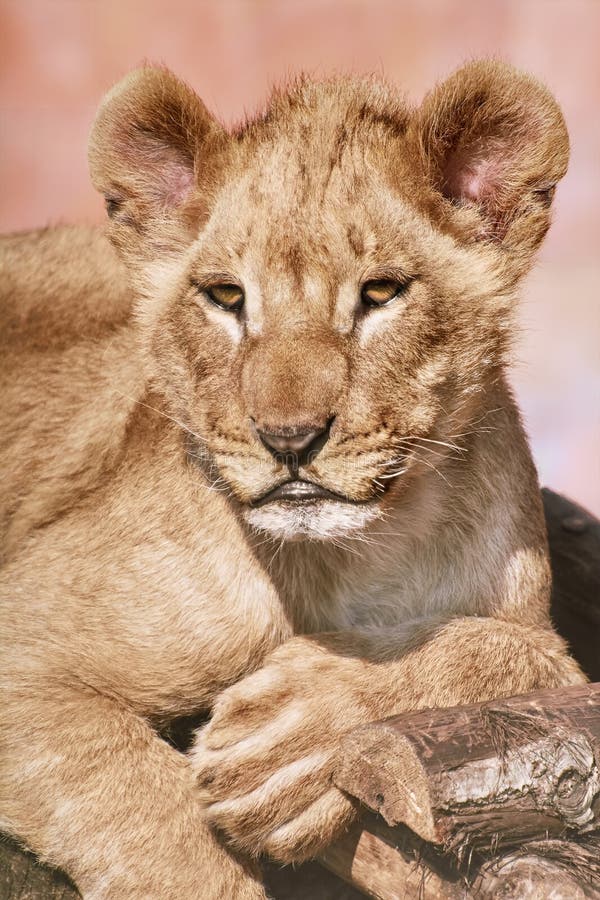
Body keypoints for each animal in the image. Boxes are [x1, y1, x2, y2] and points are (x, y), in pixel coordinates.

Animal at [0, 61, 585, 899]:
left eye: (381, 293)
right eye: (226, 297)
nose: (288, 437)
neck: (351, 558)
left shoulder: (535, 632)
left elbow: (505, 650)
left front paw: (290, 741)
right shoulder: (27, 645)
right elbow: (159, 828)